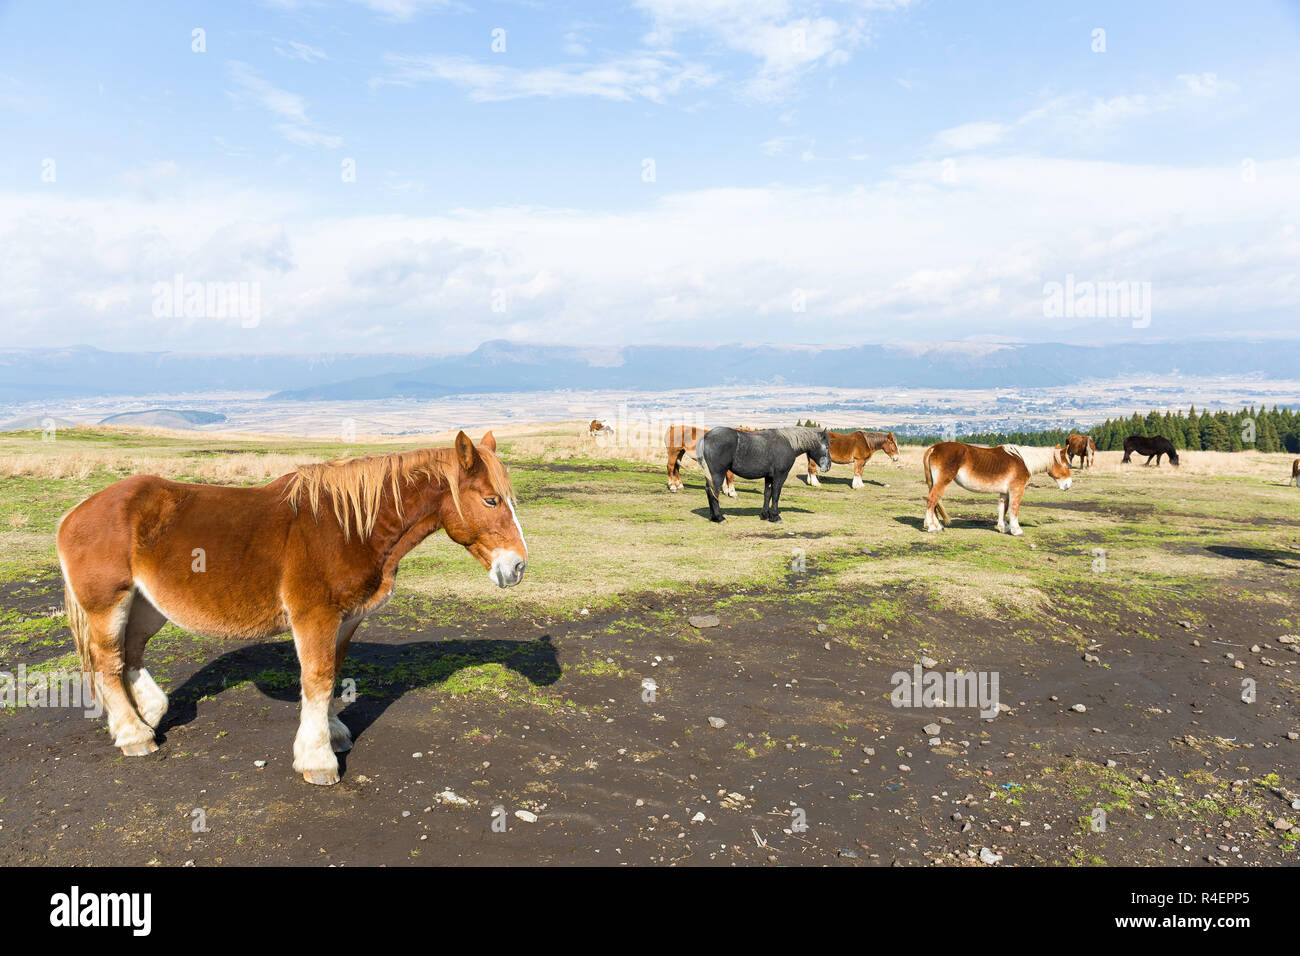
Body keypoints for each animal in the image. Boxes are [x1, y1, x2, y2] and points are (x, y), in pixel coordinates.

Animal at [56, 431, 525, 786]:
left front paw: (333, 734)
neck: (350, 527)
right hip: (109, 604)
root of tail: (74, 513)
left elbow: (333, 674)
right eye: (490, 500)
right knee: (108, 661)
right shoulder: (315, 617)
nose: (517, 566)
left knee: (130, 653)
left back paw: (149, 713)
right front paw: (318, 759)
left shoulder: (346, 619)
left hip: (147, 604)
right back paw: (134, 734)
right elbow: (317, 680)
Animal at [696, 426, 830, 523]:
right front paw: (775, 517)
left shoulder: (769, 477)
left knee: (709, 490)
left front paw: (765, 515)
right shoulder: (780, 476)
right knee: (713, 491)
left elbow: (767, 494)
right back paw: (719, 518)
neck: (788, 443)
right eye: (827, 446)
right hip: (717, 473)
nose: (828, 466)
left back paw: (713, 517)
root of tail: (706, 436)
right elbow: (775, 494)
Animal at [922, 442, 1072, 535]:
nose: (1068, 484)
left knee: (934, 502)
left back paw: (937, 525)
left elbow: (1002, 508)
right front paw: (1016, 530)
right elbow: (1014, 508)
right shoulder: (1016, 489)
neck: (1023, 461)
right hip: (942, 482)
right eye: (1066, 465)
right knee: (931, 500)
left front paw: (1003, 527)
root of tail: (934, 448)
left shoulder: (1004, 492)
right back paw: (931, 527)